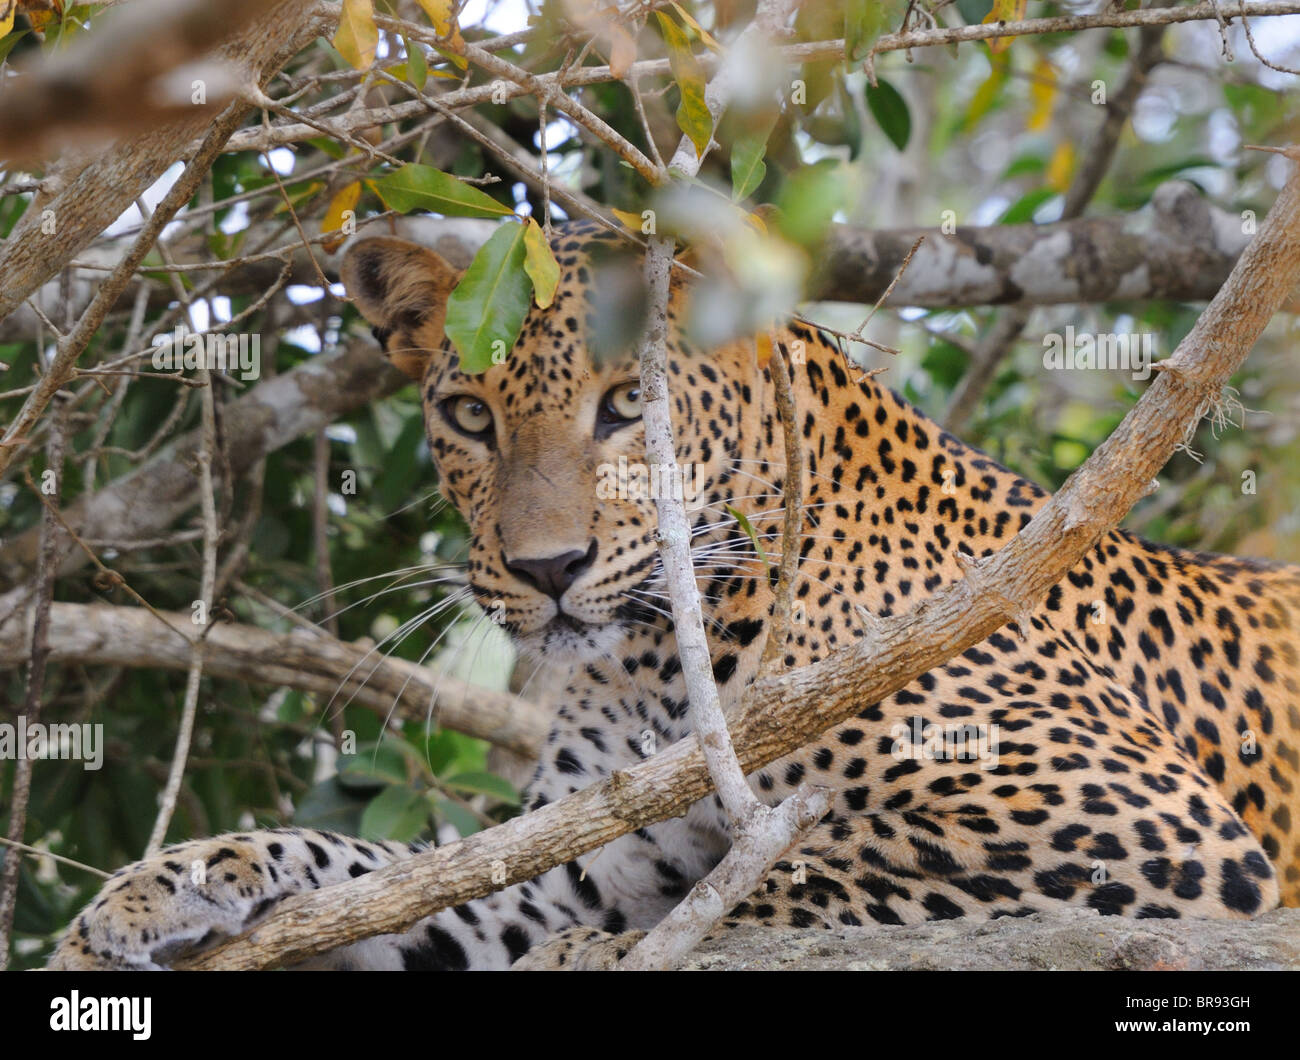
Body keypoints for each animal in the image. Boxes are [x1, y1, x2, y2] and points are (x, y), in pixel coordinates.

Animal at [48, 219, 1300, 970]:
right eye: (468, 416)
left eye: (623, 407)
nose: (547, 570)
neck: (659, 651)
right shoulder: (590, 859)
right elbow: (392, 874)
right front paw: (161, 887)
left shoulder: (1150, 828)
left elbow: (807, 873)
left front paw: (593, 958)